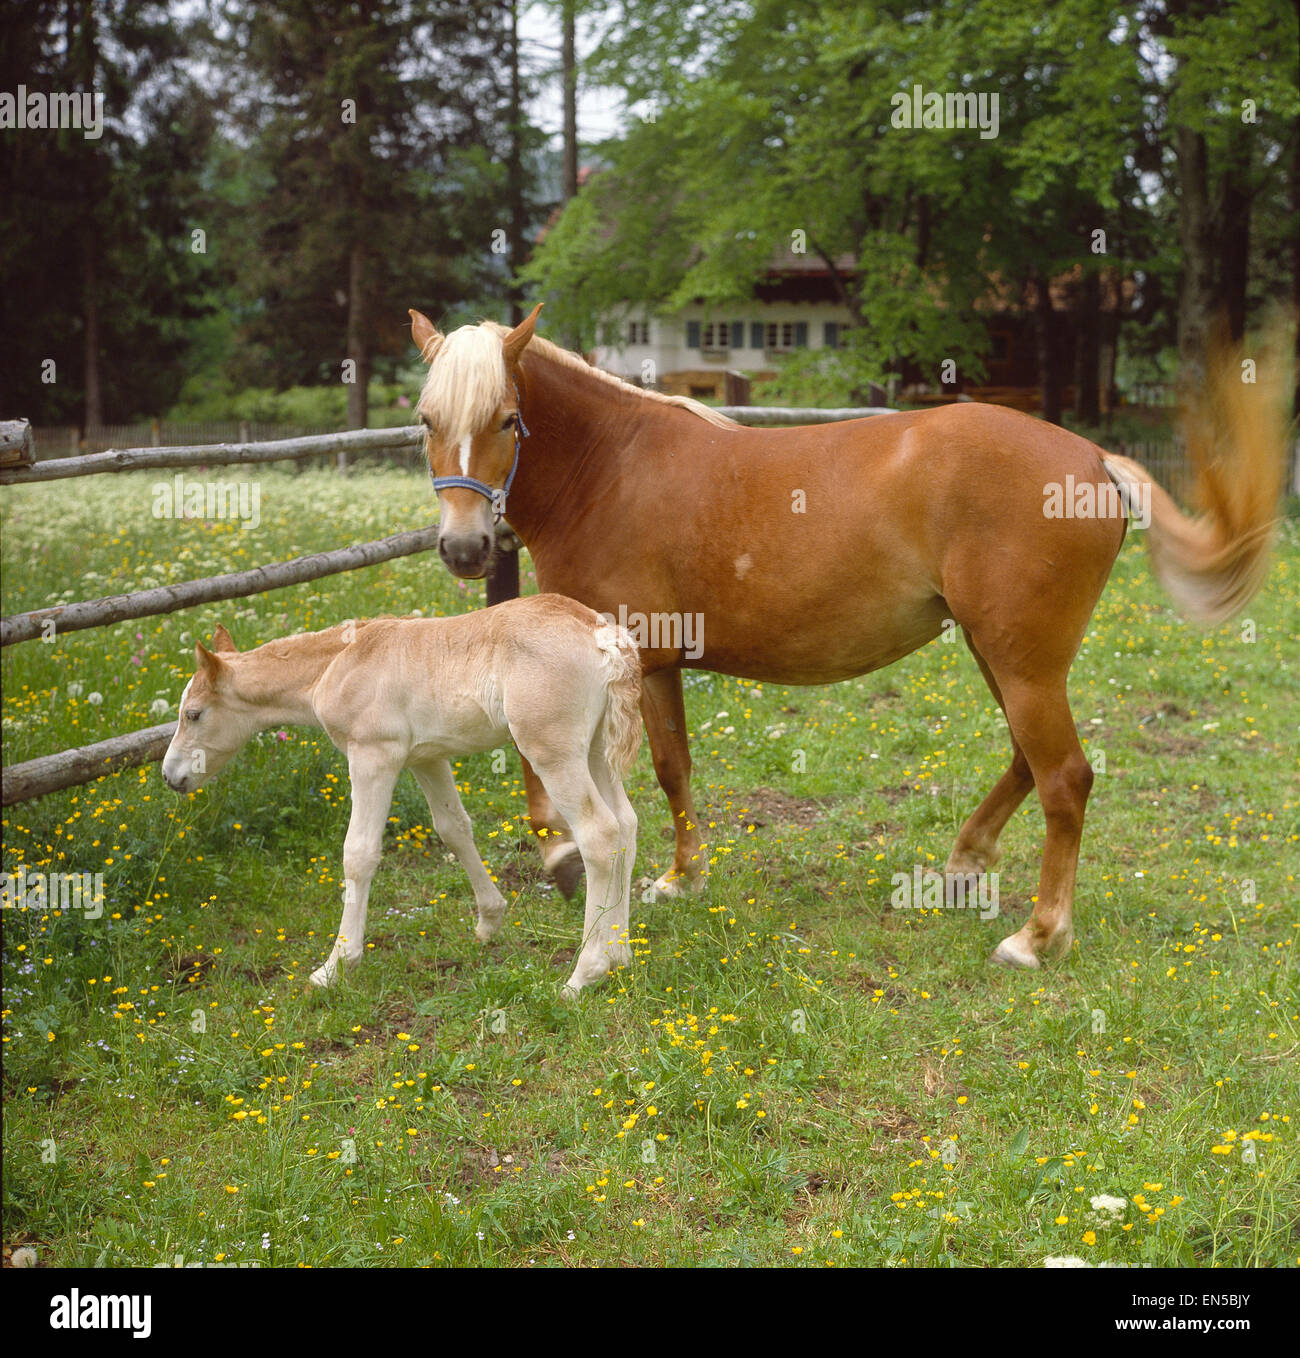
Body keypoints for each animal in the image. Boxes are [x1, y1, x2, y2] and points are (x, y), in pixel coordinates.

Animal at [160, 596, 643, 995]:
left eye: (194, 714)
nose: (170, 776)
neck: (338, 663)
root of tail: (602, 634)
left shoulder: (374, 755)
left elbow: (358, 853)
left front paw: (335, 966)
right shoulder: (427, 758)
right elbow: (454, 829)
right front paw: (489, 921)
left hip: (552, 751)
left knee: (599, 833)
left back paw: (584, 974)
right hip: (595, 749)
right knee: (626, 826)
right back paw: (618, 954)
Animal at [408, 303, 1288, 969]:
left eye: (508, 418)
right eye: (425, 420)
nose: (465, 549)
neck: (609, 469)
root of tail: (1095, 458)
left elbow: (559, 764)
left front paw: (565, 858)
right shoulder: (648, 669)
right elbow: (672, 769)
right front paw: (683, 877)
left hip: (1021, 662)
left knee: (1065, 778)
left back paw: (1037, 937)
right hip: (1002, 654)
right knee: (1027, 760)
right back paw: (964, 863)